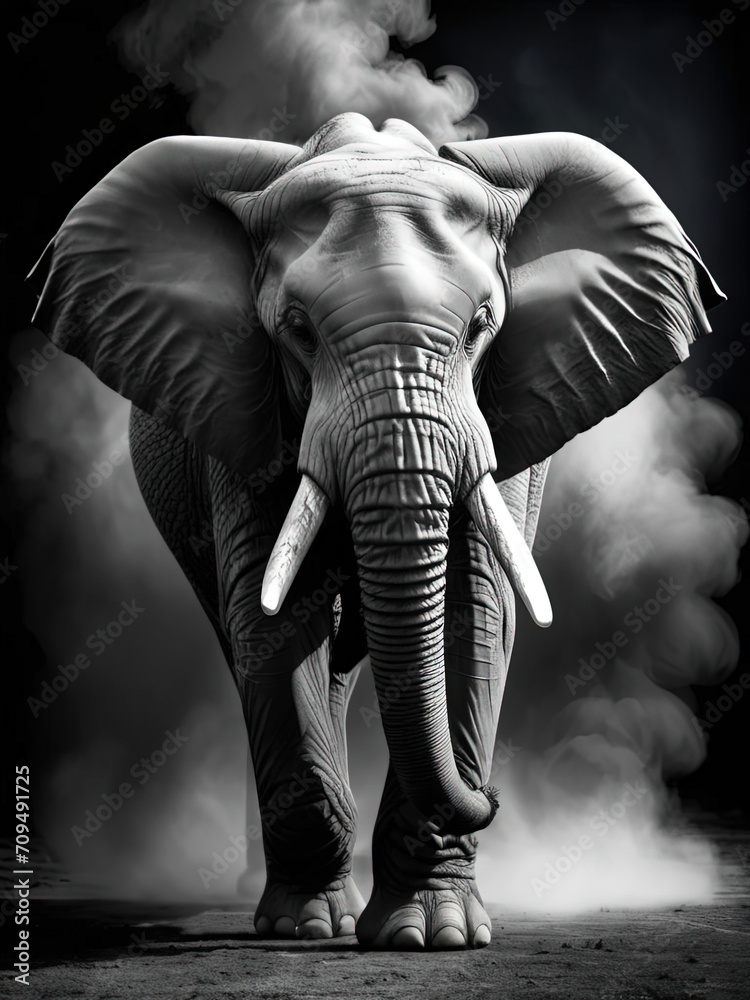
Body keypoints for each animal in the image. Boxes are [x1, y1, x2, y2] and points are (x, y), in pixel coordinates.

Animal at [28, 112, 723, 949]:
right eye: (296, 330)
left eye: (482, 326)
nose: (493, 799)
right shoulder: (238, 406)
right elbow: (274, 624)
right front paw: (304, 928)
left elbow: (472, 614)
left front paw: (434, 936)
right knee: (254, 643)